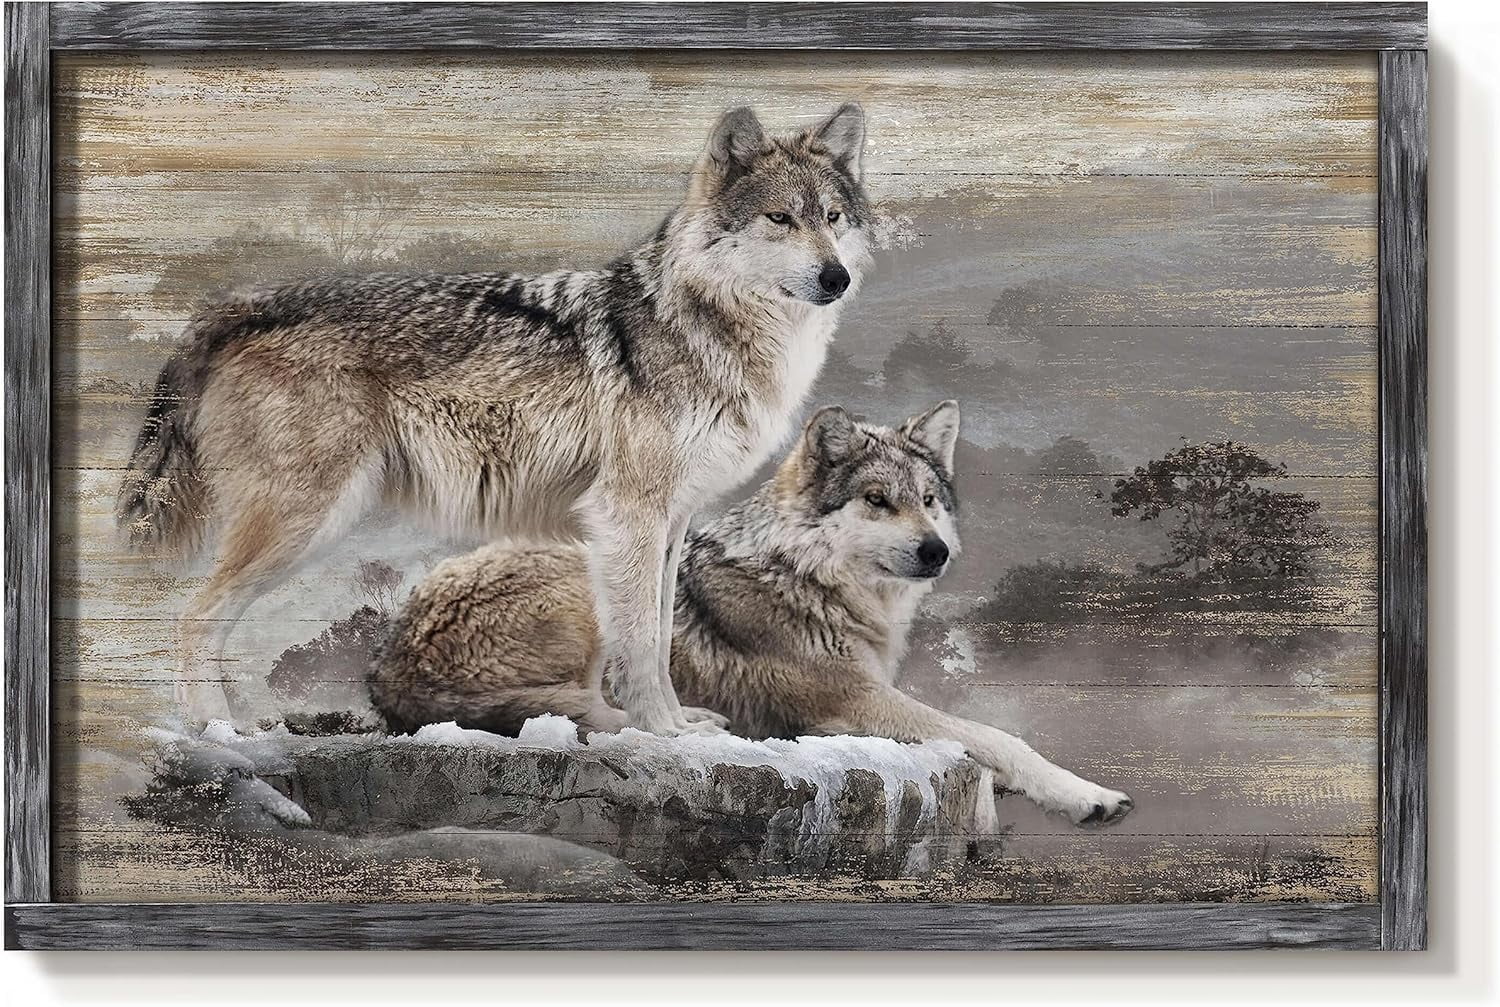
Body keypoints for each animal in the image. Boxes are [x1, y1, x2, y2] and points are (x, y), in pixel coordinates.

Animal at [118, 103, 873, 735]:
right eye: (781, 219)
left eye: (833, 217)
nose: (837, 279)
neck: (712, 328)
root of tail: (235, 307)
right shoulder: (628, 514)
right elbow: (639, 644)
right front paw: (664, 732)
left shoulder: (671, 521)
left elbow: (659, 639)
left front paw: (680, 722)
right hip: (306, 520)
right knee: (192, 619)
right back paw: (218, 729)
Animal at [370, 402, 1135, 827]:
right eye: (877, 500)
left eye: (928, 499)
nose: (937, 550)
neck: (811, 578)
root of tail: (384, 669)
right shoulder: (854, 700)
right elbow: (998, 737)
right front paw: (1087, 795)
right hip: (591, 583)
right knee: (599, 715)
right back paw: (692, 724)